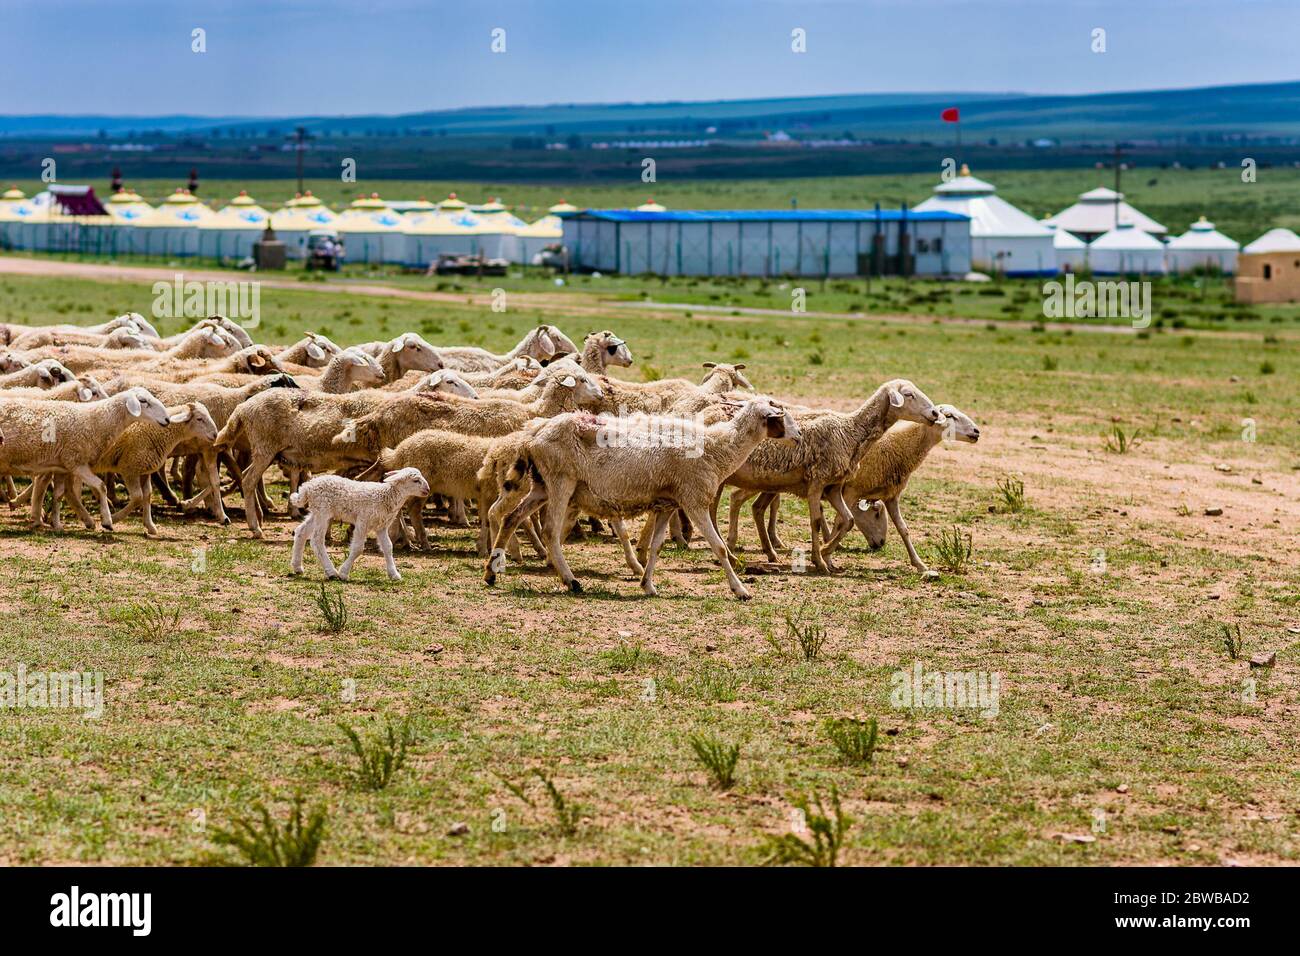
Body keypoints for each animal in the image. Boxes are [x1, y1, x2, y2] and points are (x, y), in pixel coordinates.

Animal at [0, 386, 171, 530]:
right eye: (143, 401)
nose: (167, 420)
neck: (95, 421)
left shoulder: (62, 466)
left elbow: (59, 494)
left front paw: (57, 525)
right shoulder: (76, 463)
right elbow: (101, 486)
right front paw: (107, 521)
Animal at [289, 468, 430, 581]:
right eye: (416, 480)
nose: (428, 490)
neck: (386, 496)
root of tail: (307, 487)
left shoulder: (381, 526)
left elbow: (388, 547)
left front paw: (394, 574)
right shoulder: (363, 521)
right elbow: (357, 548)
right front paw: (344, 573)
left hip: (317, 512)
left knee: (301, 532)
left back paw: (297, 567)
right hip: (323, 511)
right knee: (316, 540)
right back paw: (331, 572)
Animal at [485, 397, 800, 599]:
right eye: (781, 417)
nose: (798, 436)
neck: (717, 447)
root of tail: (534, 431)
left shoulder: (667, 504)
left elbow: (656, 547)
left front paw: (647, 584)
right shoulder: (693, 500)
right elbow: (719, 547)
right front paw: (740, 590)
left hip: (541, 484)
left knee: (511, 518)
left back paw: (491, 572)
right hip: (561, 480)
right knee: (550, 530)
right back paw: (570, 580)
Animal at [712, 380, 941, 574]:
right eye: (908, 394)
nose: (935, 413)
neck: (850, 432)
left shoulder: (833, 487)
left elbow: (847, 520)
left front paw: (826, 553)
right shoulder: (817, 482)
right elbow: (816, 521)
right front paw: (820, 560)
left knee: (732, 509)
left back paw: (742, 554)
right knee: (718, 512)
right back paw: (731, 554)